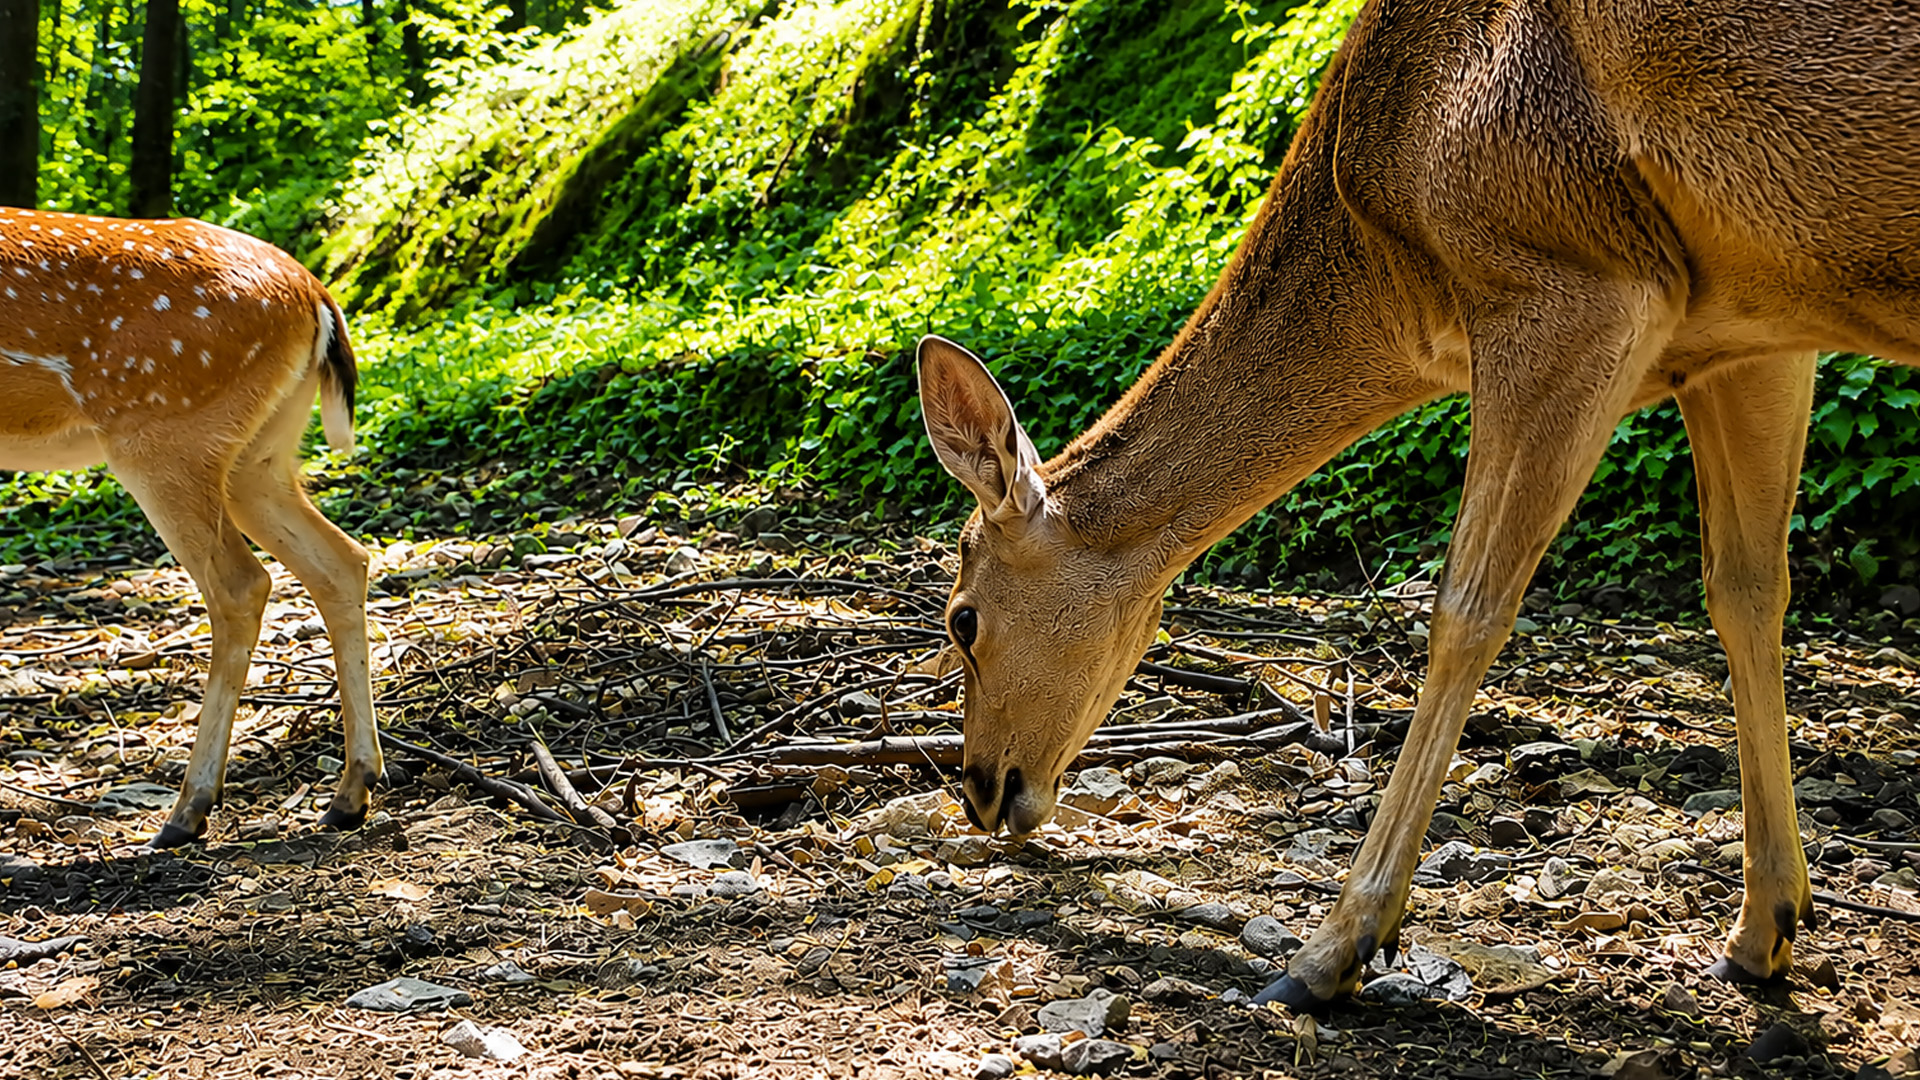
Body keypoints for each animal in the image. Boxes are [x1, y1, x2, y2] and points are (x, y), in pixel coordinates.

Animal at [0, 205, 382, 849]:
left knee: (241, 583)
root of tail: (316, 295)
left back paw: (188, 809)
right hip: (260, 454)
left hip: (163, 432)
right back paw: (350, 794)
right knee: (341, 559)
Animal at [917, 0, 1920, 1009]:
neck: (1392, 267)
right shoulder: (1751, 338)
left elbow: (1465, 609)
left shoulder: (1572, 279)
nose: (979, 789)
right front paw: (1763, 931)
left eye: (963, 618)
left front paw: (1333, 948)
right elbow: (1746, 590)